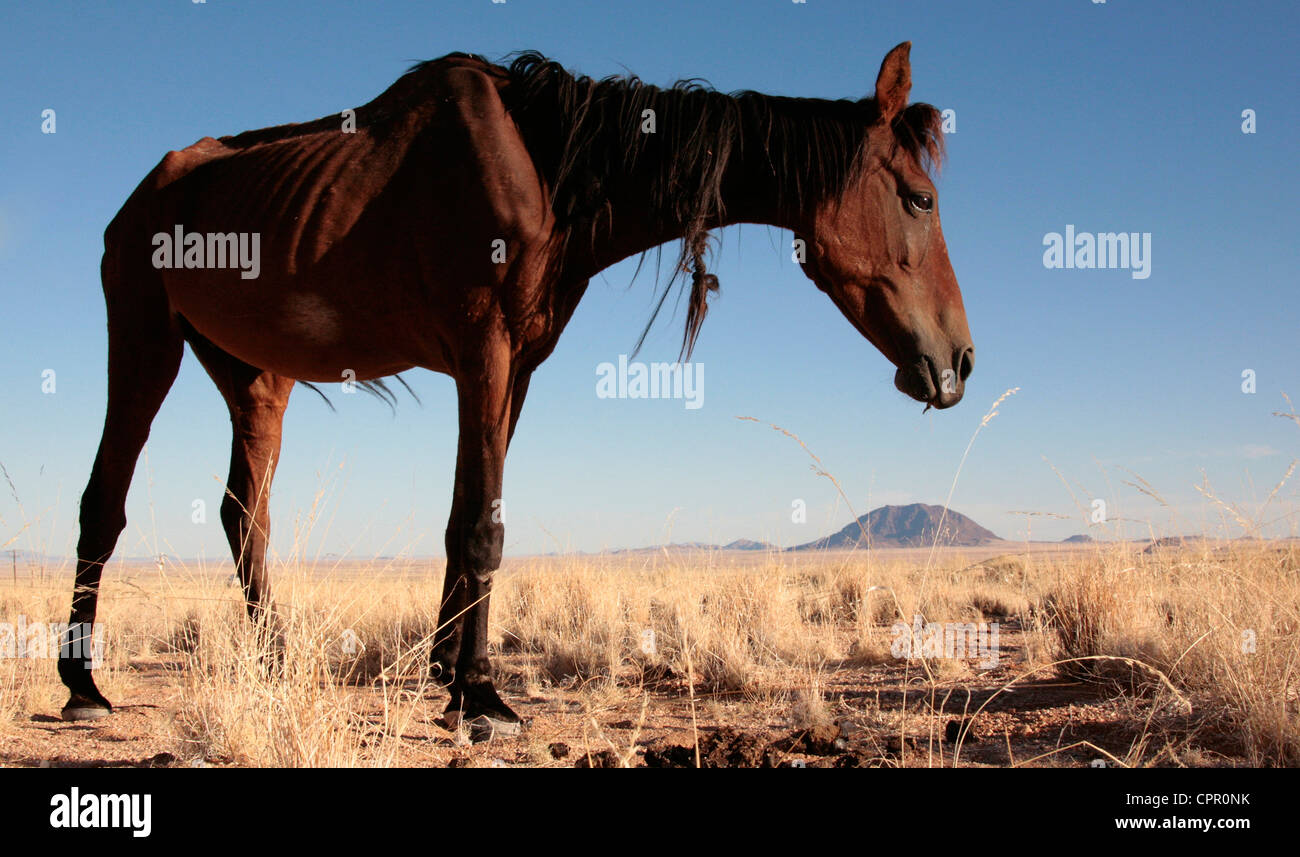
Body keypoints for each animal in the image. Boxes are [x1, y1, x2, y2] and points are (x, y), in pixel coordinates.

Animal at [59, 42, 974, 735]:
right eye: (919, 198)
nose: (959, 363)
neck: (547, 166)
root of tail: (141, 195)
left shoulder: (516, 367)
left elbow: (469, 515)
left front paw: (450, 672)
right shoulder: (483, 351)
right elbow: (481, 530)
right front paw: (480, 696)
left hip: (253, 375)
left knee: (244, 512)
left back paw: (279, 661)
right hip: (142, 342)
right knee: (105, 502)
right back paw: (82, 685)